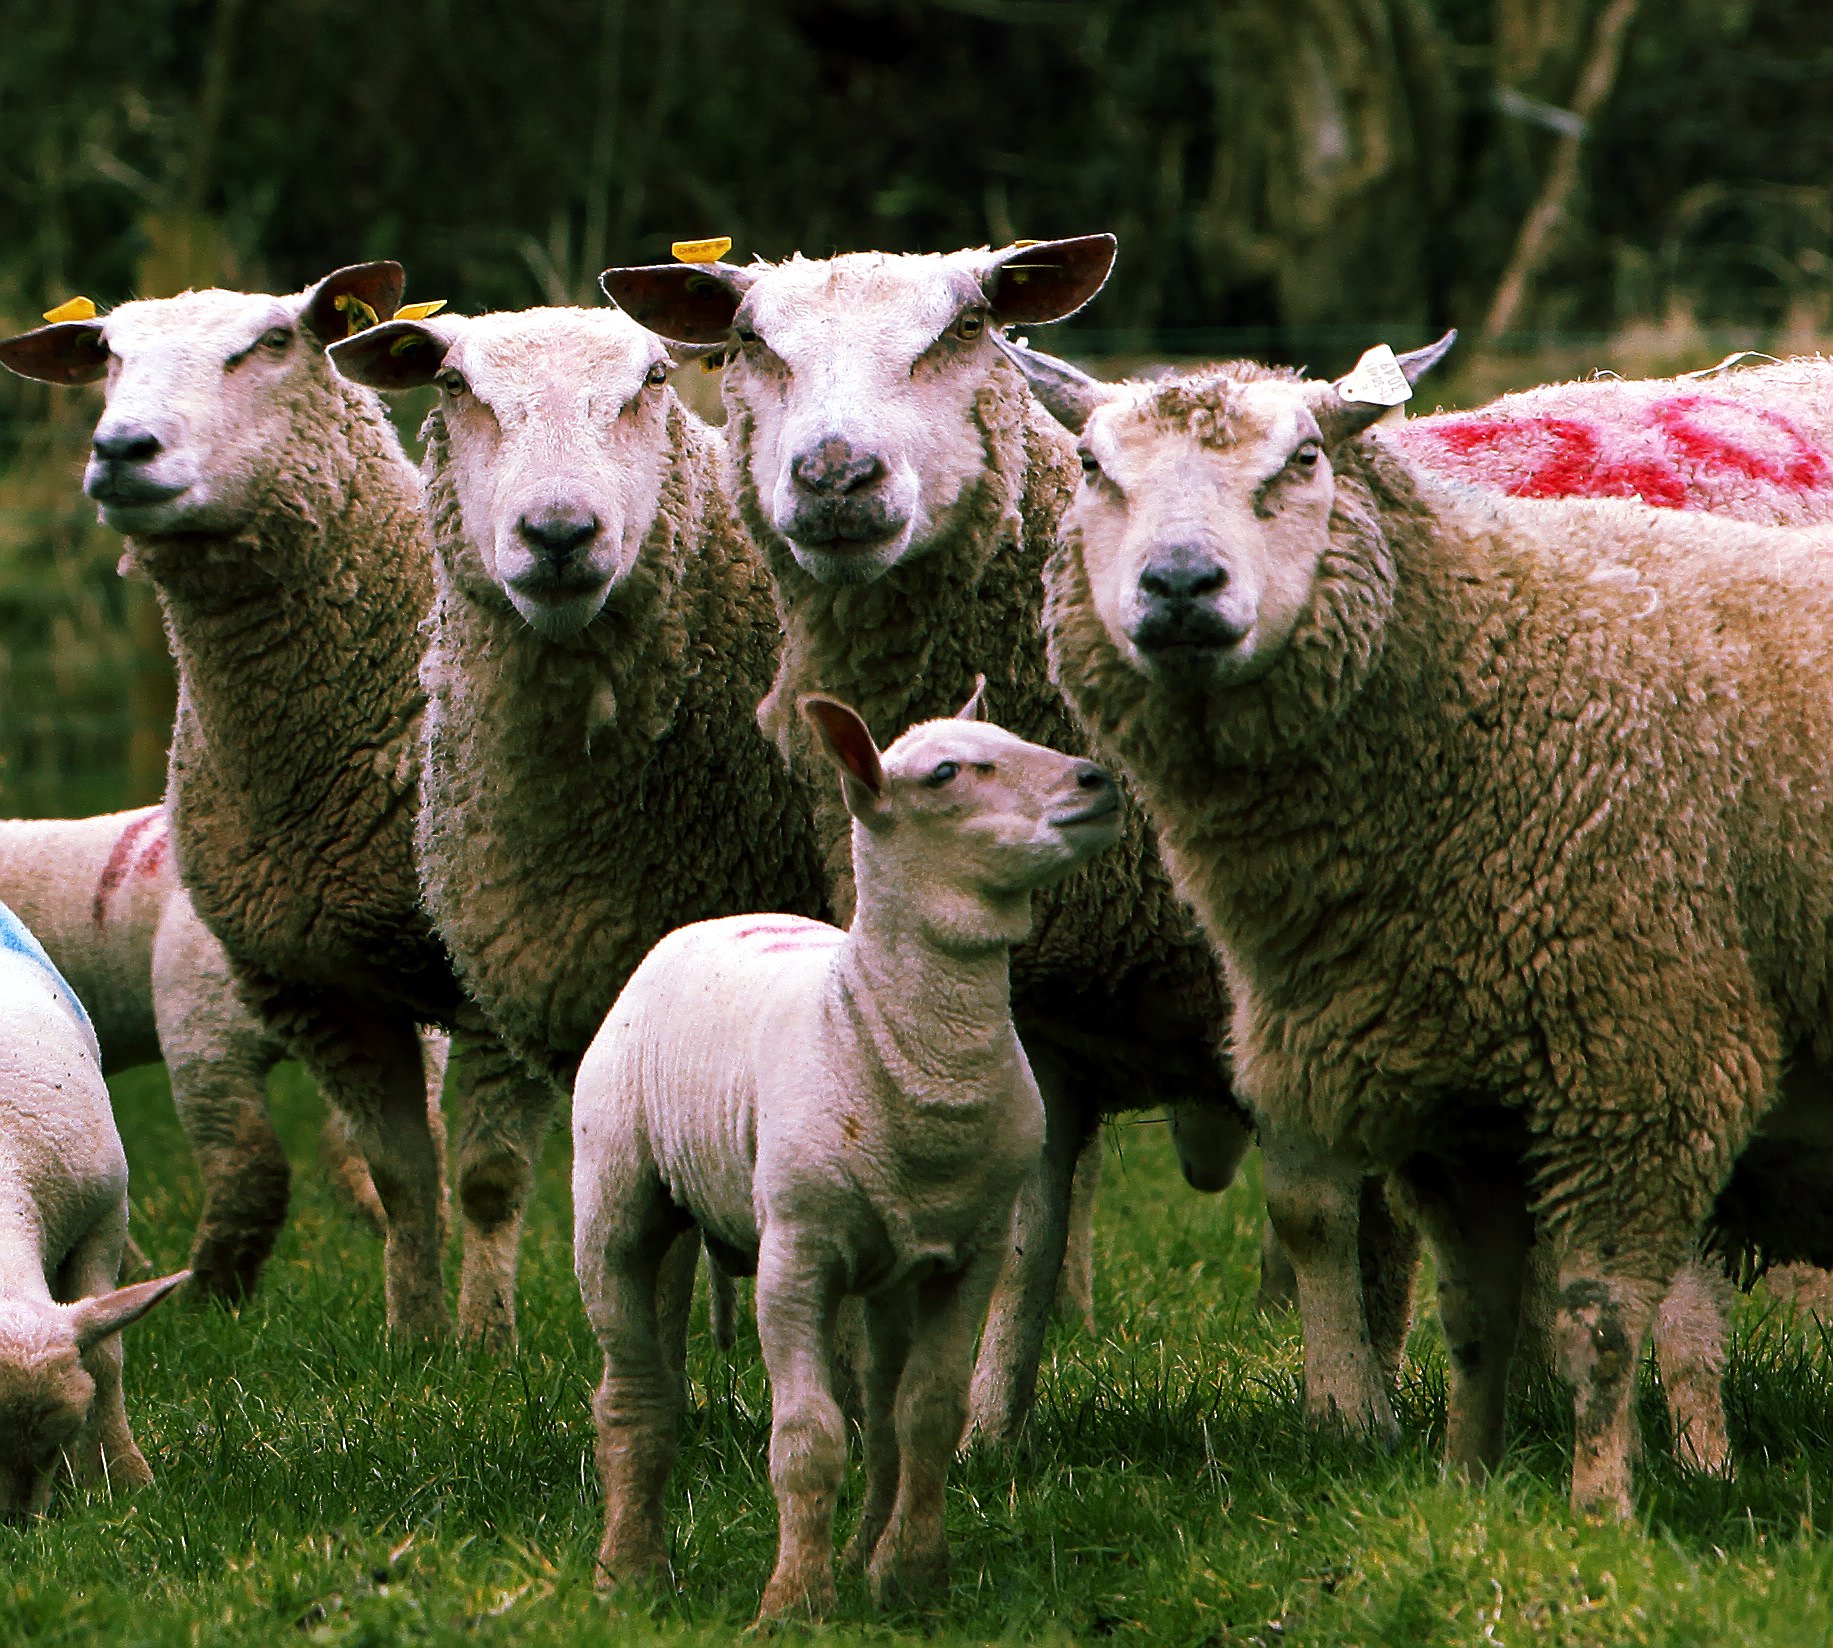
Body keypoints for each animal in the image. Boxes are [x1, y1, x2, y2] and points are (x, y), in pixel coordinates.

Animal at [573, 692, 1121, 1620]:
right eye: (944, 773)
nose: (1098, 779)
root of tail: (714, 921)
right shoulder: (797, 1253)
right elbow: (808, 1436)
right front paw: (794, 1601)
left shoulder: (970, 1253)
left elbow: (926, 1415)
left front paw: (912, 1580)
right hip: (614, 1195)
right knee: (631, 1392)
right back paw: (628, 1572)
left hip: (885, 1264)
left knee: (877, 1401)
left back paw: (862, 1552)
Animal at [600, 239, 1314, 1443]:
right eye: (747, 342)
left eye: (965, 326)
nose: (837, 474)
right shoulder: (1037, 1009)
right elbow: (1023, 1241)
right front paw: (984, 1435)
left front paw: (1355, 1416)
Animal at [1021, 334, 1833, 1517]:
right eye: (1090, 466)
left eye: (1304, 458)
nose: (1177, 586)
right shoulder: (1452, 1099)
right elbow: (1471, 1319)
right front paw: (1467, 1488)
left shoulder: (1644, 1062)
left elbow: (1599, 1318)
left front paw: (1598, 1510)